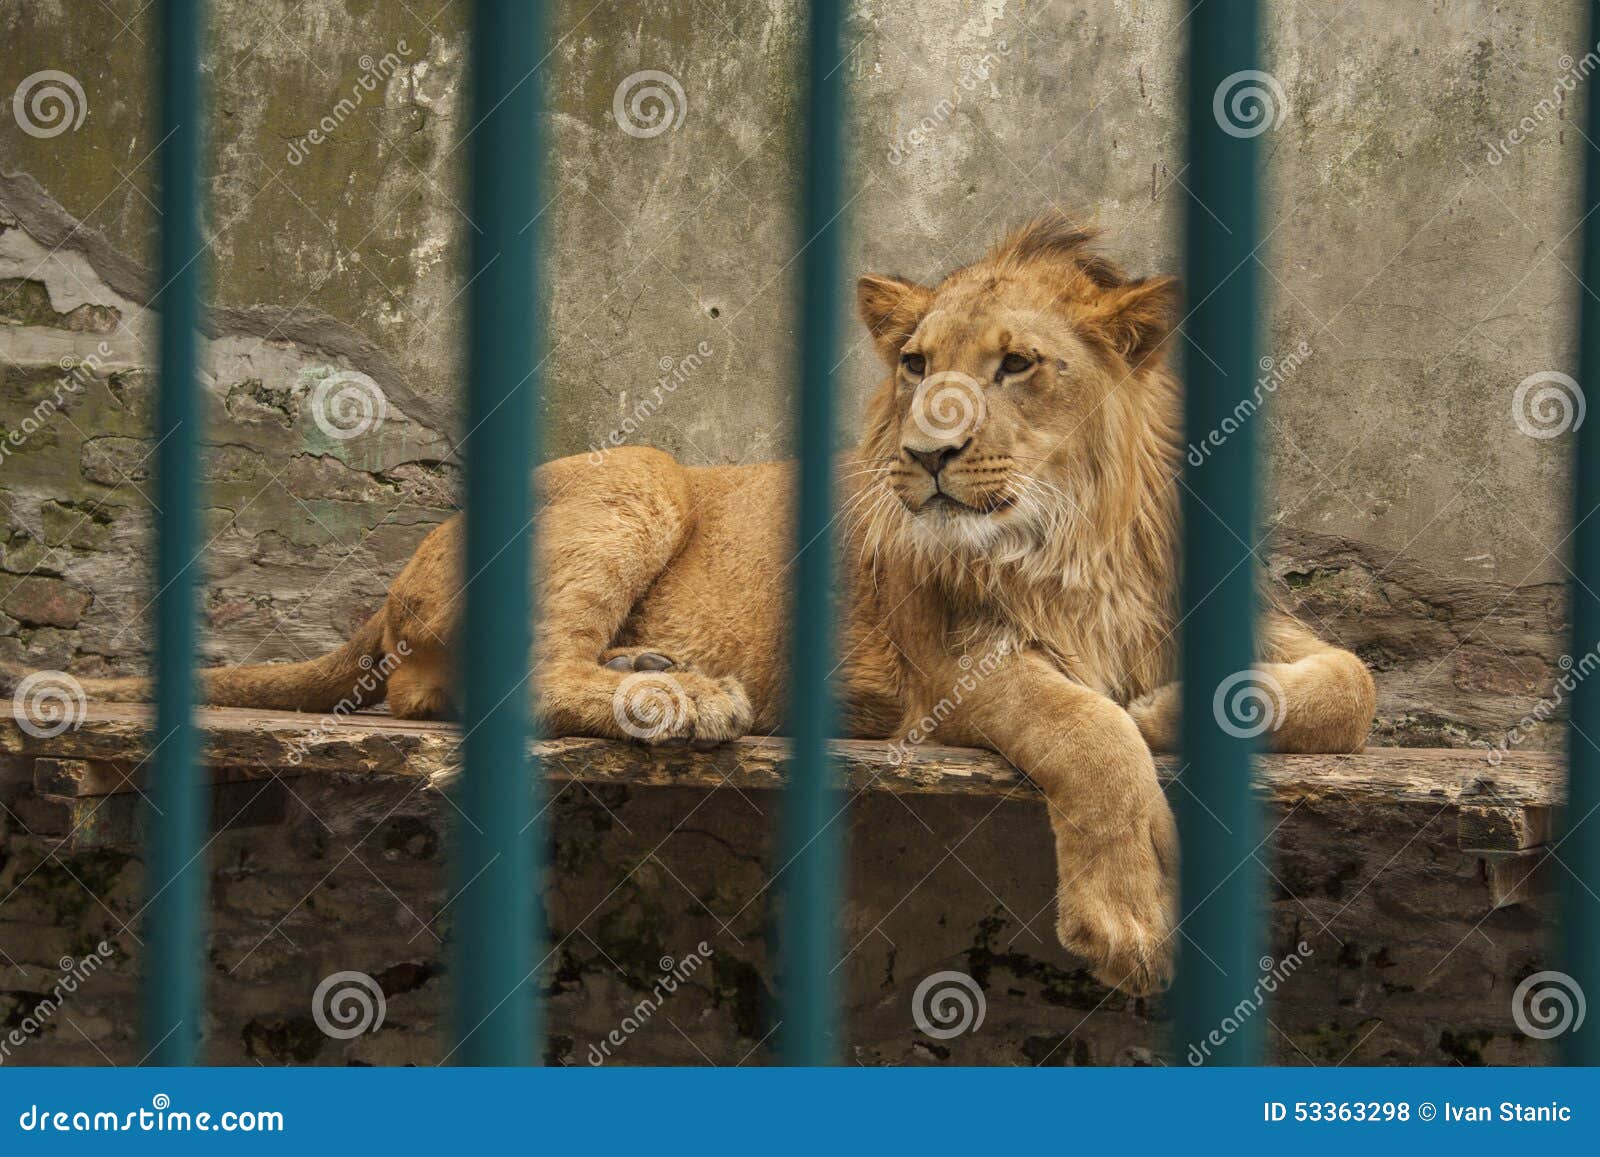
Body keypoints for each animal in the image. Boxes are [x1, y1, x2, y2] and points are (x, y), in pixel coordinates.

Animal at [22, 213, 1376, 995]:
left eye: (1016, 366)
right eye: (915, 366)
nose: (924, 457)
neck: (1071, 537)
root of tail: (398, 575)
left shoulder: (1267, 626)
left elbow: (1349, 680)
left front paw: (1179, 704)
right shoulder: (956, 676)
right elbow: (1086, 732)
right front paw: (1127, 910)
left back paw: (658, 669)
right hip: (642, 474)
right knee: (471, 684)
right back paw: (683, 699)